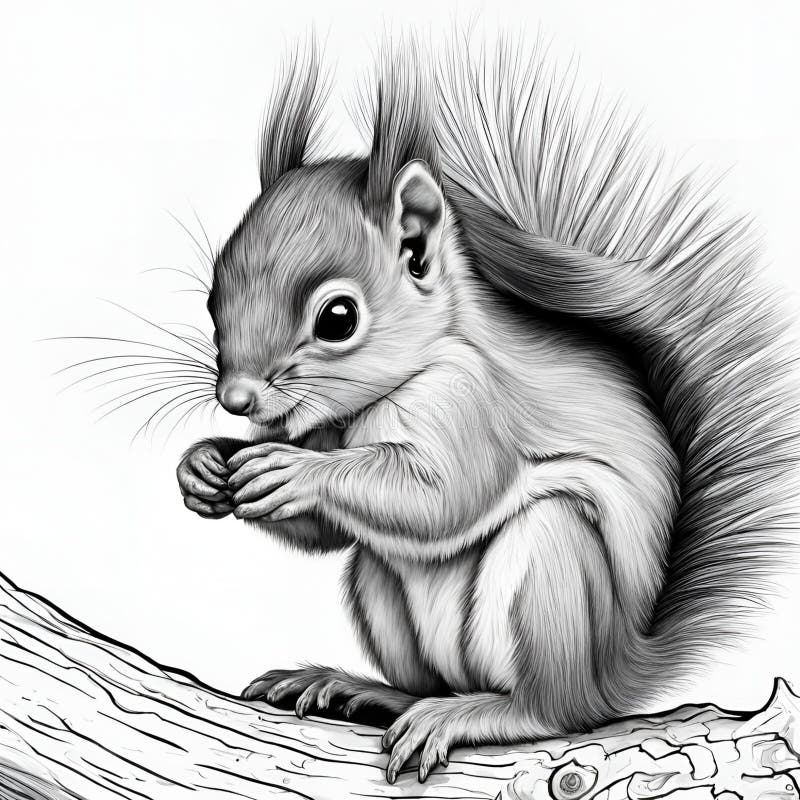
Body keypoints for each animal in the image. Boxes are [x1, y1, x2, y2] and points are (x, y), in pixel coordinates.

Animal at [175, 38, 799, 783]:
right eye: (212, 294)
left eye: (338, 318)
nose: (236, 400)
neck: (377, 400)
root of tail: (619, 673)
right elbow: (327, 533)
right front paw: (204, 464)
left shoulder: (470, 403)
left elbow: (444, 495)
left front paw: (293, 472)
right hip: (380, 584)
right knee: (419, 659)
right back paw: (361, 689)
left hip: (552, 566)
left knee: (551, 710)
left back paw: (471, 714)